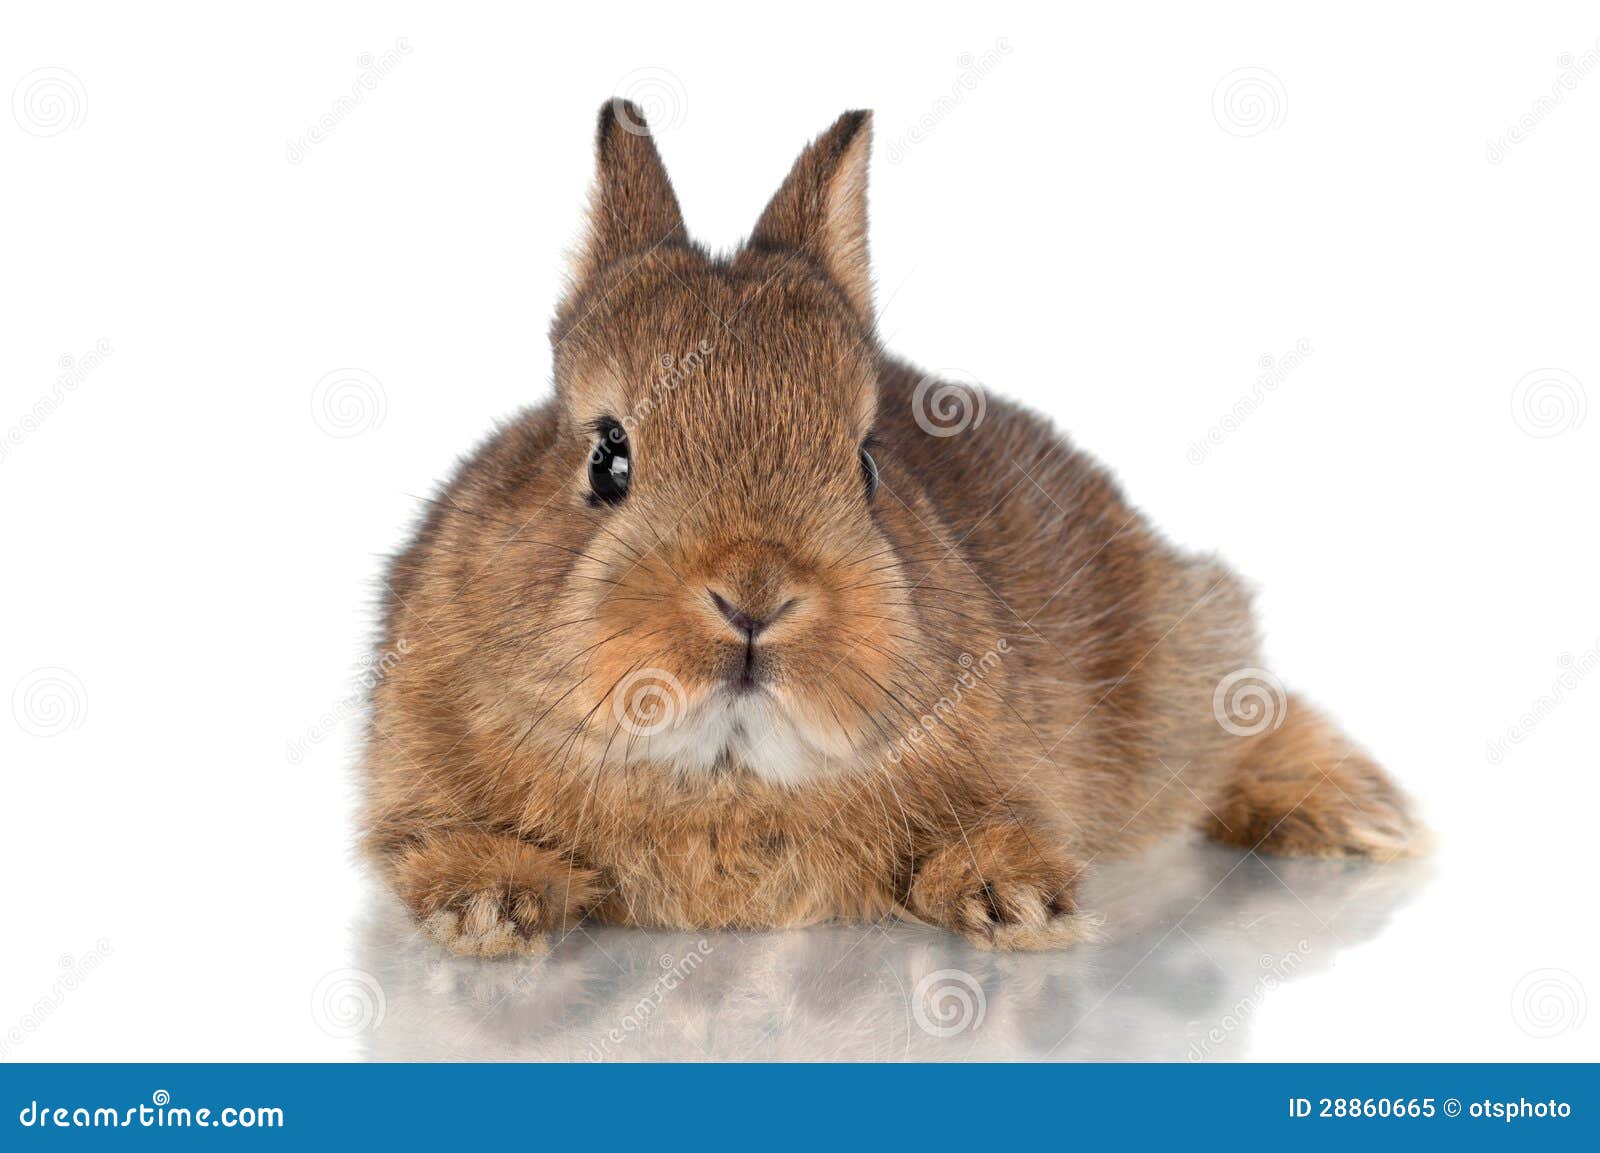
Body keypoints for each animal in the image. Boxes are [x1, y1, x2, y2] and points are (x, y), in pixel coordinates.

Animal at [361, 99, 1422, 959]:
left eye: (867, 463)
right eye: (606, 459)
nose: (756, 598)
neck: (724, 782)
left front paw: (1018, 902)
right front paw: (491, 903)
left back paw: (1363, 817)